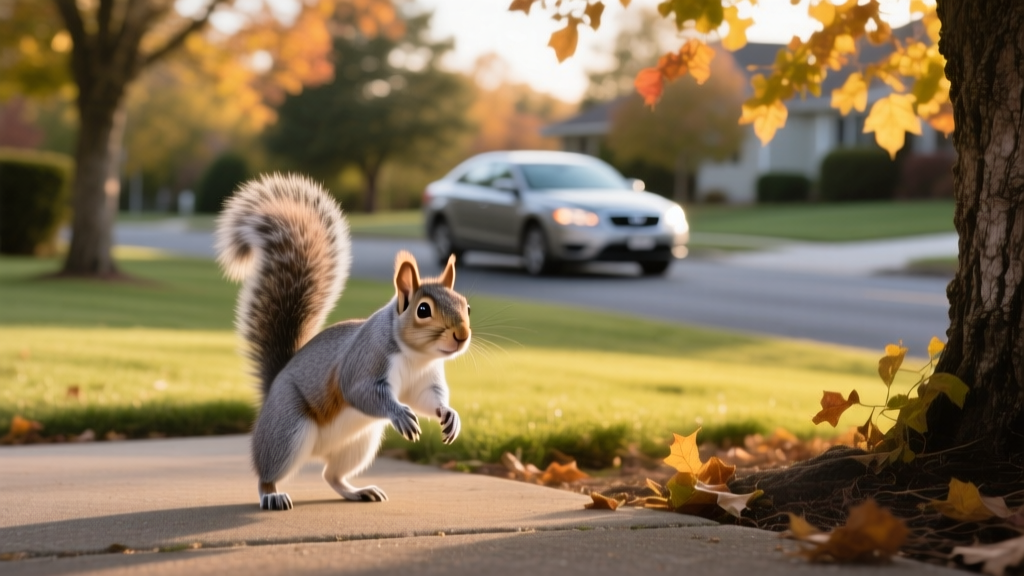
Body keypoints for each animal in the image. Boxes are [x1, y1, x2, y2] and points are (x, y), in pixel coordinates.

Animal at [215, 173, 471, 511]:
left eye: (467, 306)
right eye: (423, 310)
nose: (462, 336)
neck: (416, 357)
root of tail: (271, 392)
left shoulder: (425, 380)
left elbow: (428, 399)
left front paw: (450, 415)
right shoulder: (365, 360)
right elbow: (361, 391)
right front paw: (400, 414)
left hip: (359, 443)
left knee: (331, 475)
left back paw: (358, 491)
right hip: (287, 429)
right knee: (268, 471)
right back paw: (271, 494)